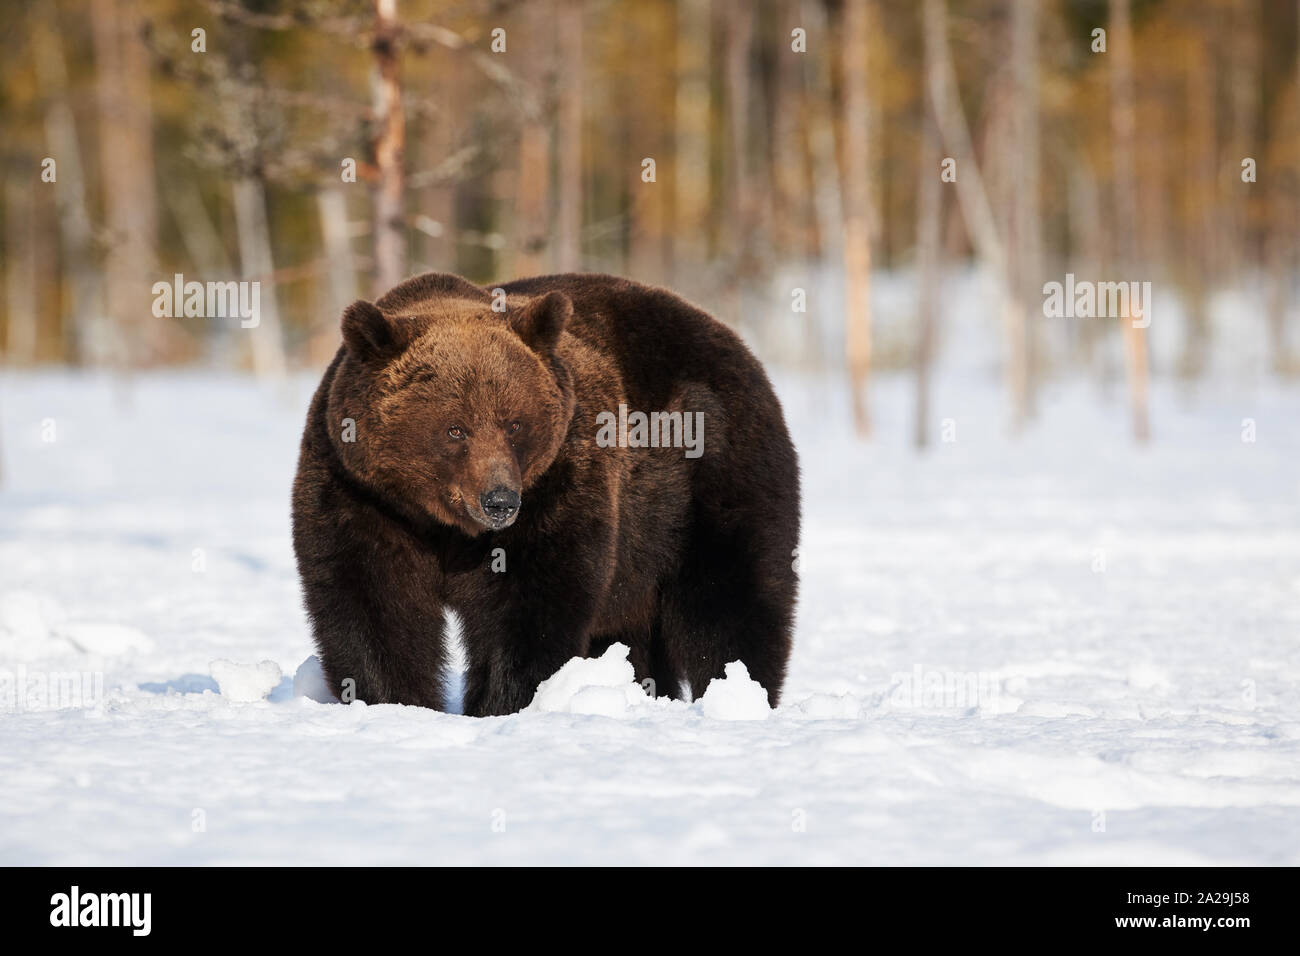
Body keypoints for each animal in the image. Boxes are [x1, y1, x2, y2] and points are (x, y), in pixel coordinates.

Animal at [291, 272, 799, 717]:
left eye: (515, 423)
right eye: (455, 428)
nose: (499, 501)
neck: (441, 524)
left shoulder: (557, 483)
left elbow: (528, 606)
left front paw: (505, 703)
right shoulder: (358, 491)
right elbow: (371, 603)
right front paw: (394, 702)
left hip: (707, 477)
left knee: (731, 599)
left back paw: (740, 695)